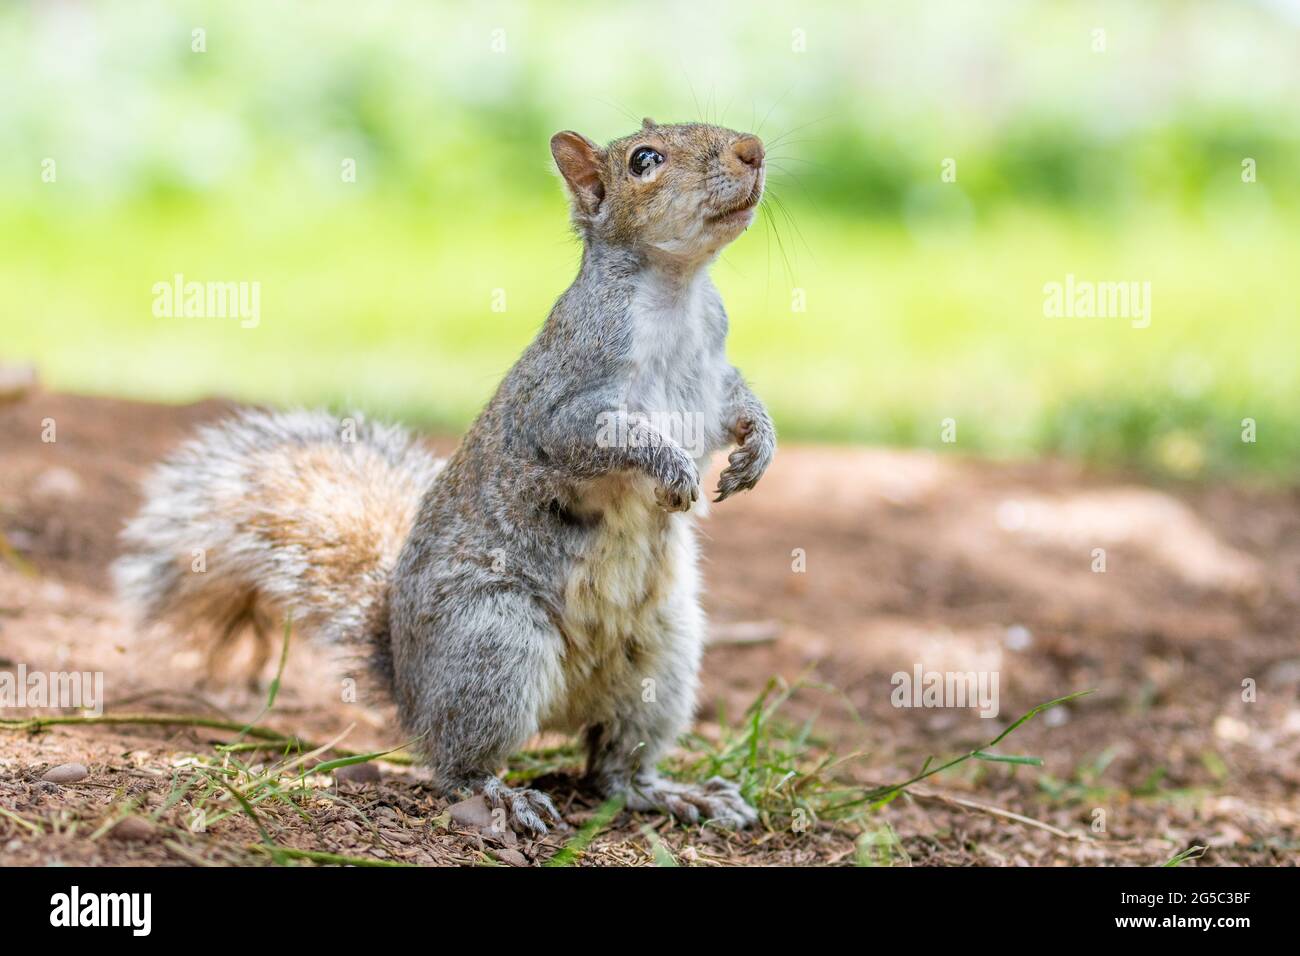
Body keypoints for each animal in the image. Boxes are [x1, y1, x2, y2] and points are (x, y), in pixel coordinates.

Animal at [113, 118, 776, 834]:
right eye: (644, 161)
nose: (753, 150)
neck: (677, 292)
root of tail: (410, 686)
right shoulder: (565, 398)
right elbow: (593, 438)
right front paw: (671, 467)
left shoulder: (712, 376)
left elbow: (737, 406)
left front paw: (756, 449)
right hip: (493, 645)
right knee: (458, 760)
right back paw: (505, 796)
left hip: (662, 662)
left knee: (613, 770)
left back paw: (676, 793)